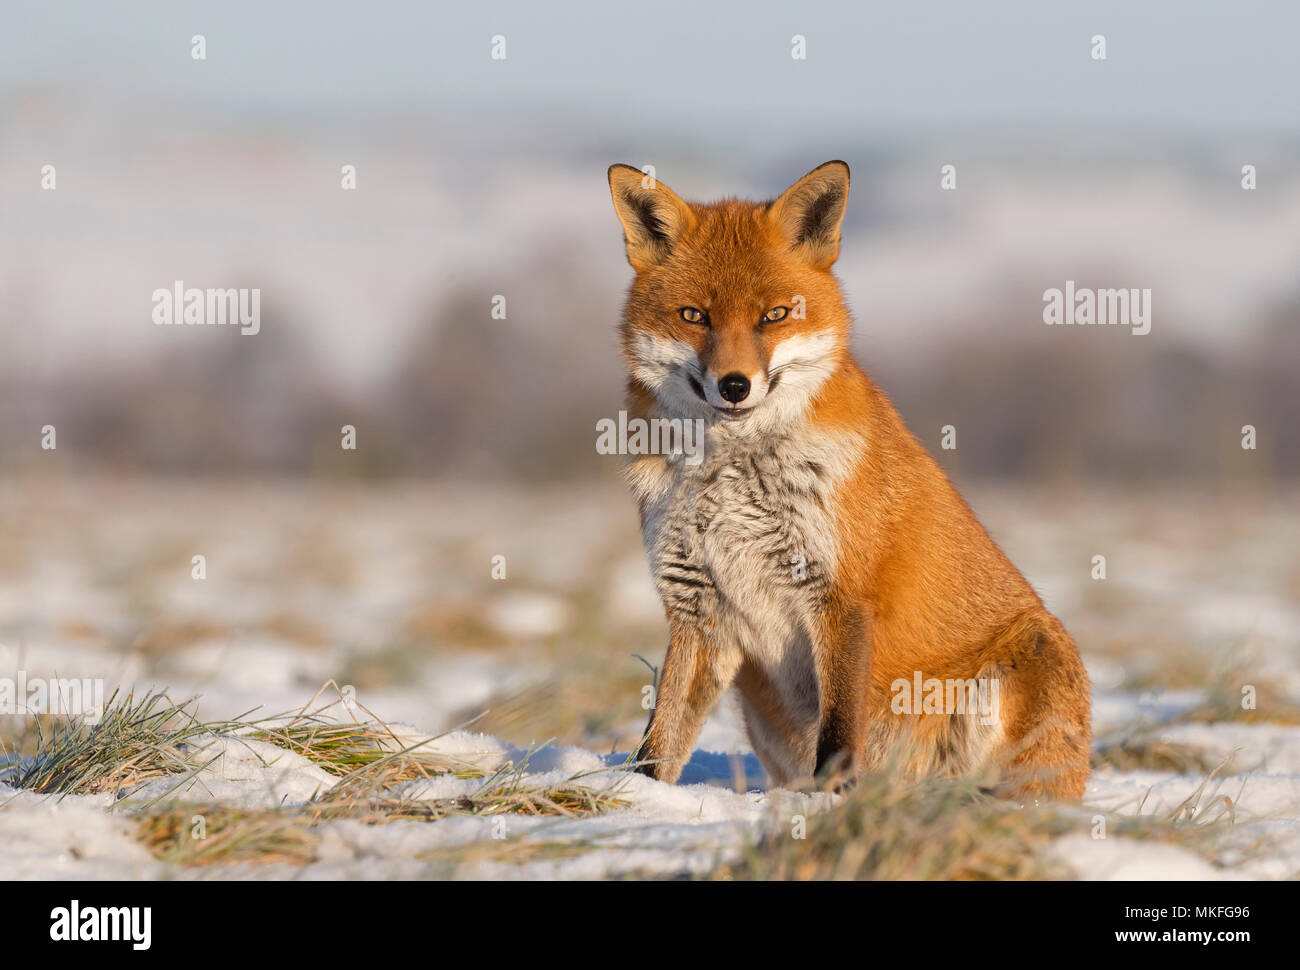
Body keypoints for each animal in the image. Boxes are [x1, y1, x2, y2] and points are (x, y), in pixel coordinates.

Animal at [607, 160, 1091, 799]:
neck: (733, 474)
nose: (734, 385)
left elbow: (838, 734)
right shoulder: (696, 605)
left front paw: (831, 805)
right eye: (694, 316)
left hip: (1021, 662)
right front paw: (641, 802)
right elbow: (658, 744)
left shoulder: (839, 595)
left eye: (774, 315)